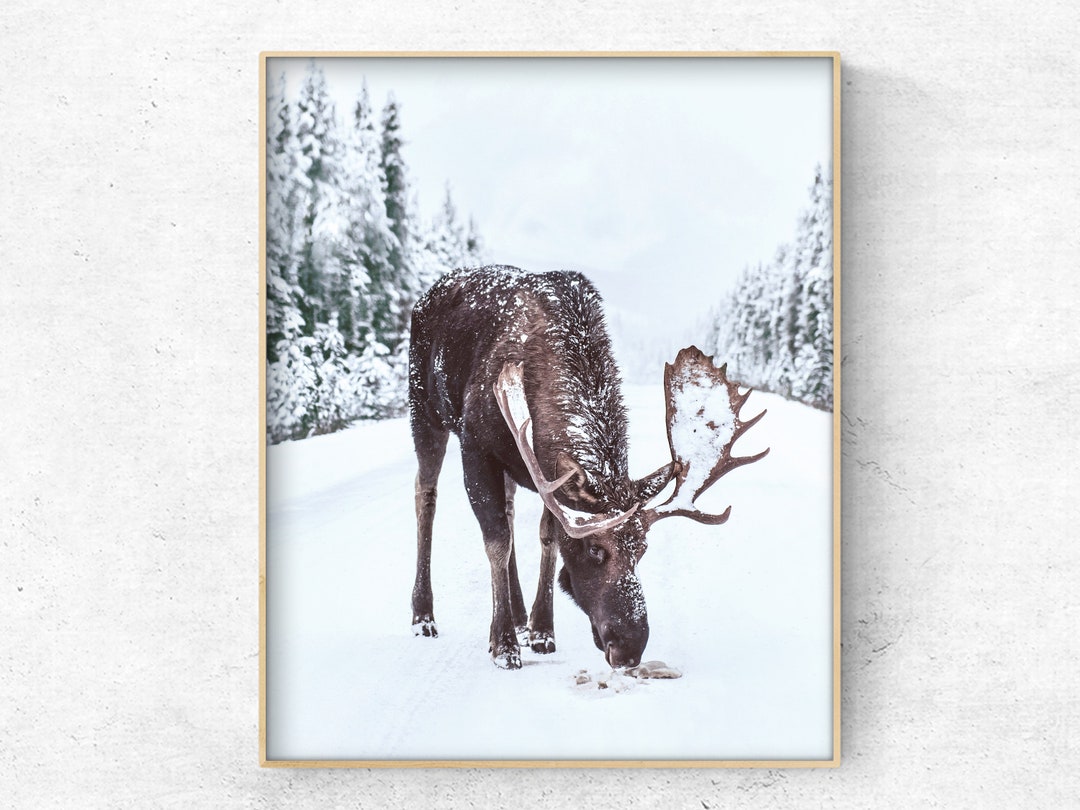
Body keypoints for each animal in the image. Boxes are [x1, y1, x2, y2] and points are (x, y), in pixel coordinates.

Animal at [407, 265, 768, 670]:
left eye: (642, 549)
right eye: (596, 550)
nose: (630, 648)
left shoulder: (544, 473)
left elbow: (547, 538)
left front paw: (541, 629)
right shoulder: (476, 445)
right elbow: (497, 541)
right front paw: (503, 645)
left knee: (510, 511)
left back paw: (518, 615)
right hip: (424, 410)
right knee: (426, 495)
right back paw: (423, 615)